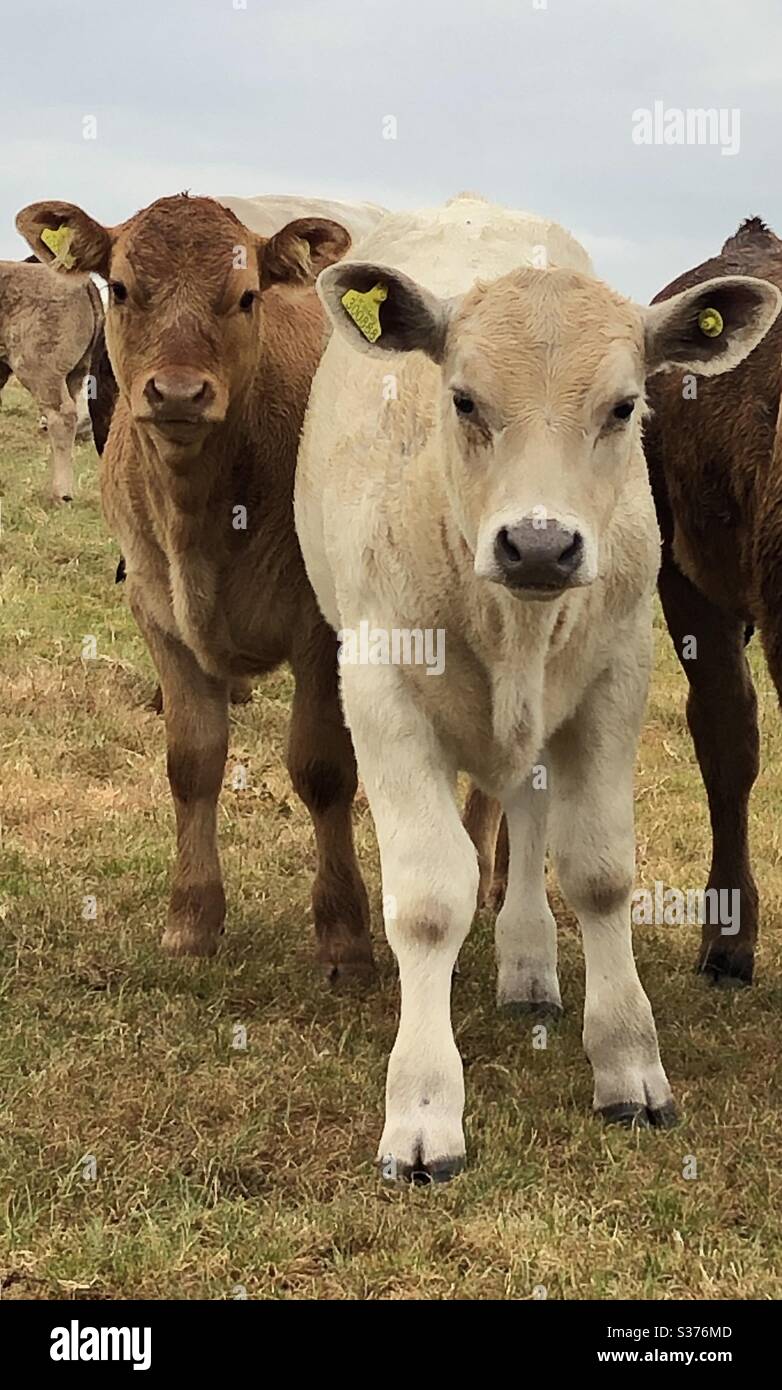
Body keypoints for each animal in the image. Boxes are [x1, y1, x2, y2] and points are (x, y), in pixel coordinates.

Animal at [16, 192, 373, 982]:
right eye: (121, 288)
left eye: (246, 296)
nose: (178, 392)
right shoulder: (159, 615)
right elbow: (193, 762)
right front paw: (191, 920)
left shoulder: (322, 630)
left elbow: (323, 769)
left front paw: (344, 934)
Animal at [294, 194, 781, 1180]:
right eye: (464, 399)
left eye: (625, 406)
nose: (541, 545)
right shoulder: (382, 697)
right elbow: (430, 901)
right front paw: (423, 1108)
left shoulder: (614, 680)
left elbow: (597, 872)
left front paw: (629, 1064)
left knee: (526, 806)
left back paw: (528, 965)